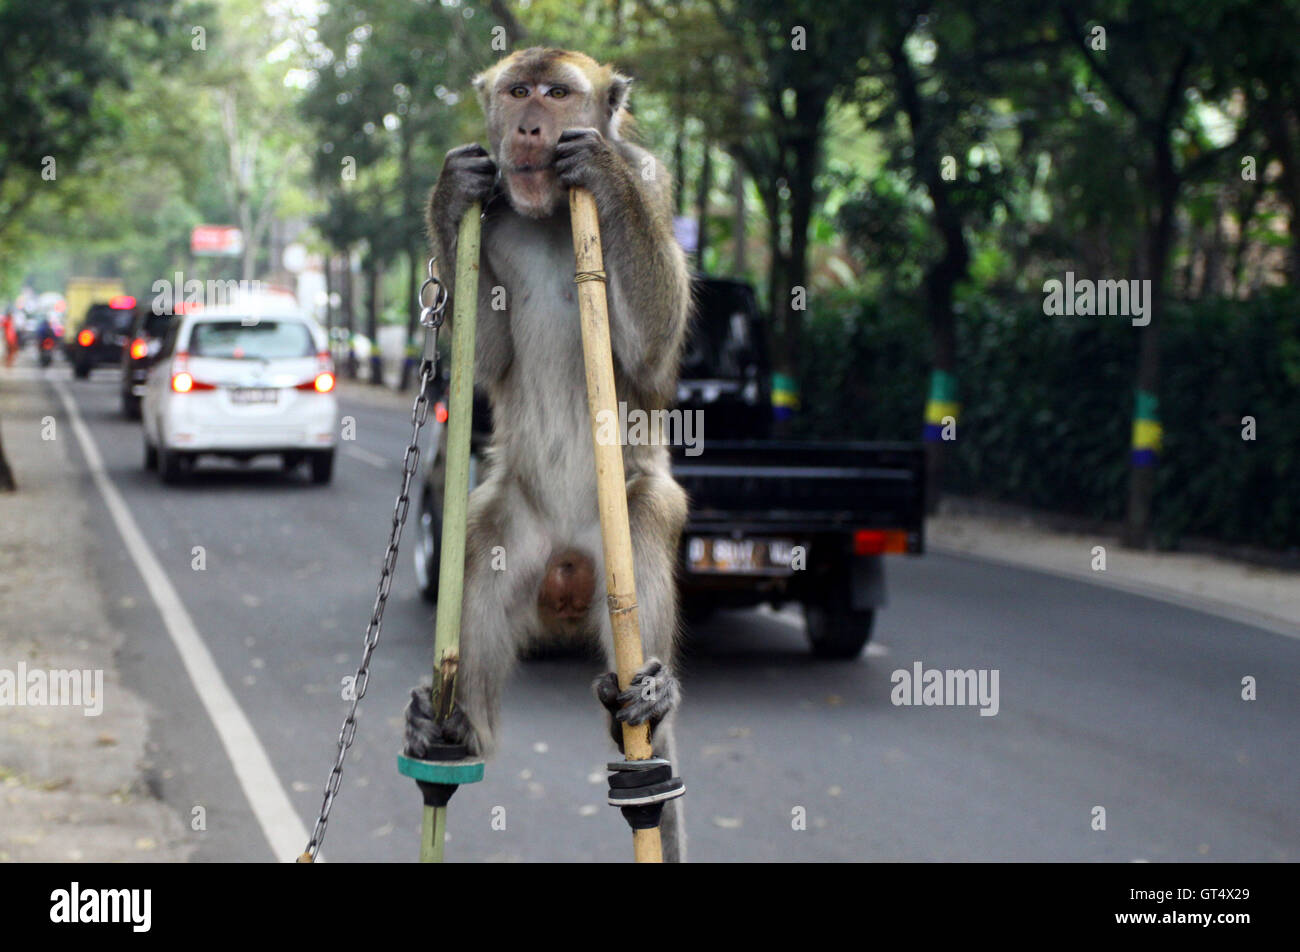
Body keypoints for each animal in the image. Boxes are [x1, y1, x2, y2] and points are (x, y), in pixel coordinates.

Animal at [404, 48, 691, 861]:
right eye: (518, 91)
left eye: (559, 93)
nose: (531, 127)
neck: (547, 214)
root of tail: (568, 567)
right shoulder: (497, 210)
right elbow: (484, 356)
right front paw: (450, 192)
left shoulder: (656, 179)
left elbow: (651, 354)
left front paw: (602, 173)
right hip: (520, 537)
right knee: (477, 539)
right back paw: (451, 728)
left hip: (615, 541)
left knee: (646, 519)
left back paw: (645, 715)